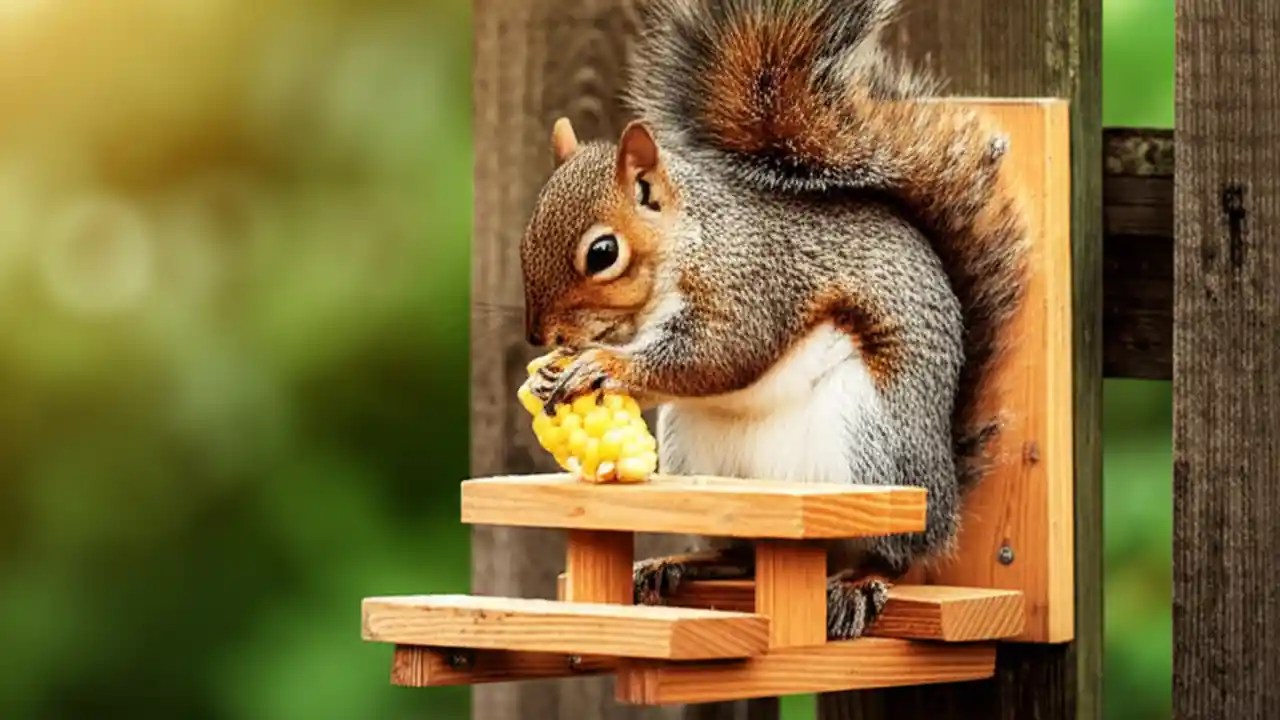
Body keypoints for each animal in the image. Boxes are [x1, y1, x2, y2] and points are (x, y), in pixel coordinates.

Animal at [520, 0, 1029, 639]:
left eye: (603, 253)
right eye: (526, 236)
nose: (541, 336)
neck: (690, 240)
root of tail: (944, 496)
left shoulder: (755, 283)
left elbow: (721, 354)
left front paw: (603, 366)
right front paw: (557, 370)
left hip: (872, 442)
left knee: (896, 553)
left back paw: (861, 580)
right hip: (697, 450)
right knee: (740, 552)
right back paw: (678, 563)